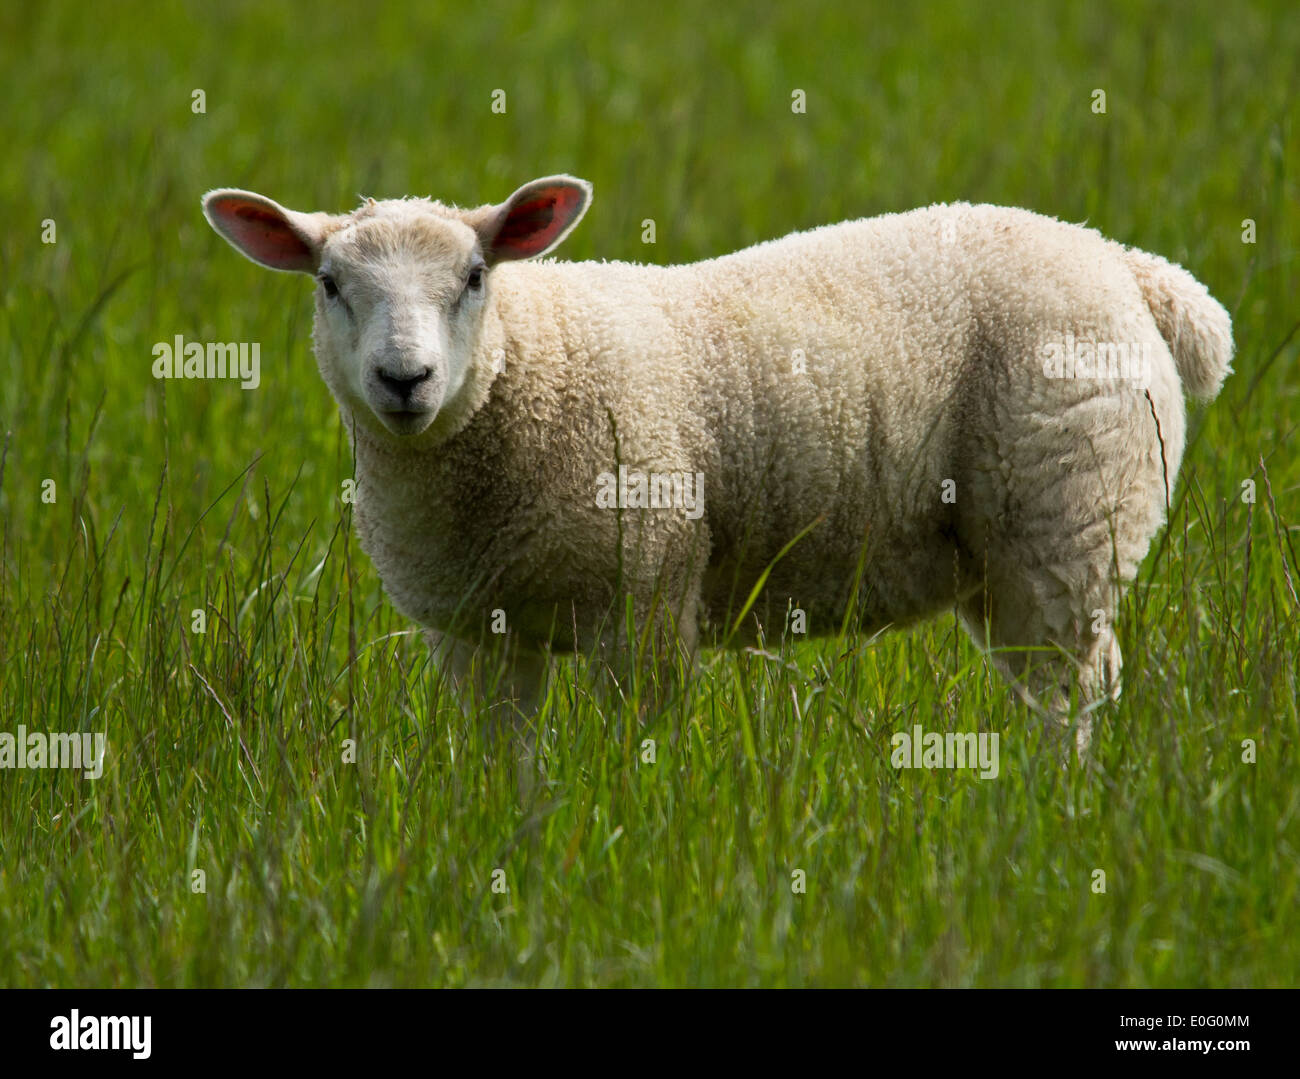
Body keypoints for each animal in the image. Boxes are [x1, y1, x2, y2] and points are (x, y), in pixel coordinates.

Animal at [201, 176, 1233, 751]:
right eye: (330, 284)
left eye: (476, 278)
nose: (403, 379)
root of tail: (1137, 273)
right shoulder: (475, 637)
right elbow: (505, 770)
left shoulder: (649, 598)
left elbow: (634, 751)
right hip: (1008, 553)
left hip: (1070, 509)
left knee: (1075, 695)